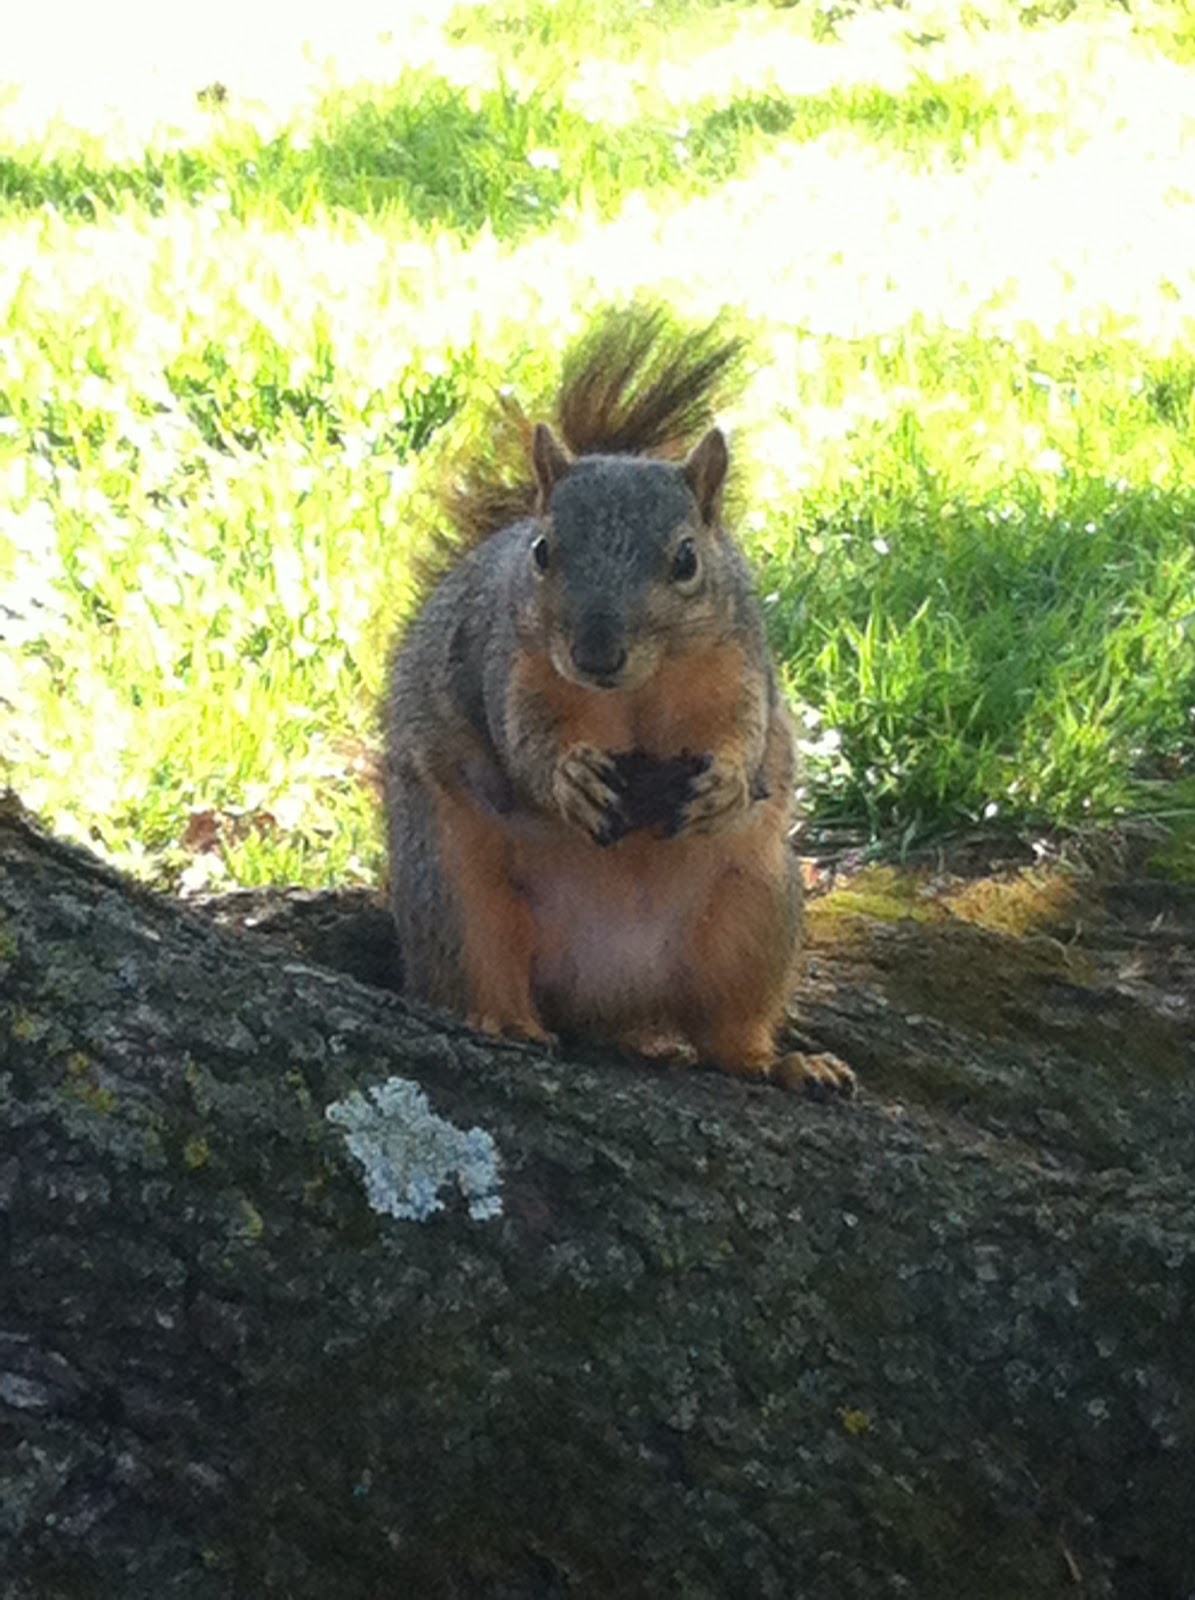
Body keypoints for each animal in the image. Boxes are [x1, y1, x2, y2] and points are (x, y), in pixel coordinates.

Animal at [383, 306, 855, 1097]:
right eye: (542, 552)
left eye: (687, 559)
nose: (596, 654)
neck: (638, 687)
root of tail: (611, 995)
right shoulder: (509, 664)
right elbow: (525, 741)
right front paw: (568, 778)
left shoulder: (740, 660)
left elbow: (749, 731)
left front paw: (729, 781)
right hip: (452, 892)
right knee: (484, 970)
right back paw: (507, 1022)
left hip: (755, 905)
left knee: (725, 1031)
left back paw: (782, 1062)